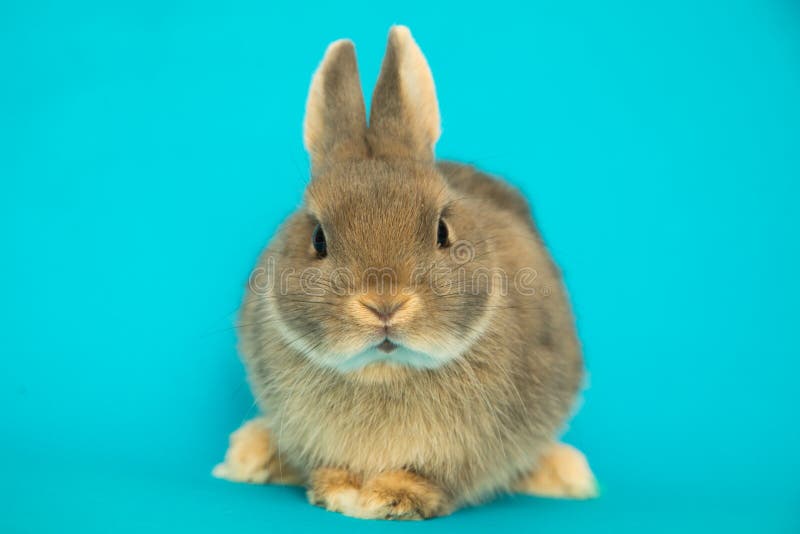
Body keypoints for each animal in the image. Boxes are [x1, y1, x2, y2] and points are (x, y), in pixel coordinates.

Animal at [212, 25, 596, 520]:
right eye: (318, 238)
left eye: (442, 230)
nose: (385, 304)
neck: (384, 370)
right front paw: (339, 490)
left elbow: (438, 479)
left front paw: (390, 497)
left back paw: (568, 475)